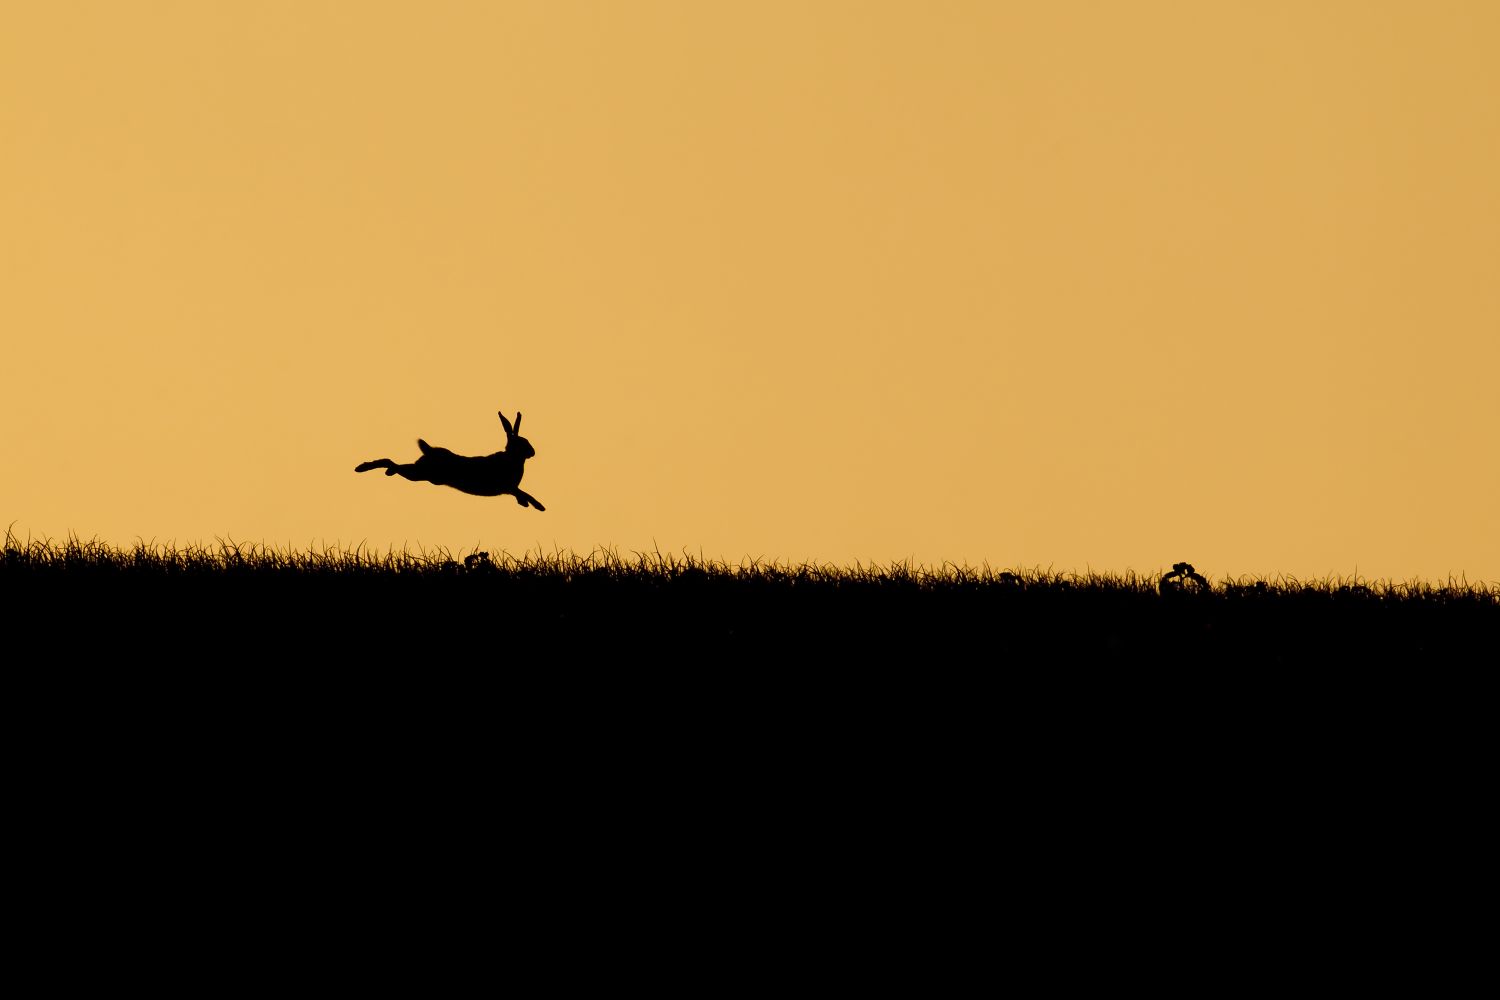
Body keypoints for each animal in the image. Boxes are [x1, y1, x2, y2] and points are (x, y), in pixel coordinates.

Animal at [355, 409, 545, 510]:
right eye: (522, 442)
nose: (533, 452)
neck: (512, 459)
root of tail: (430, 450)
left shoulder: (510, 488)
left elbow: (522, 493)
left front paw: (527, 504)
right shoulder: (508, 486)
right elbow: (524, 493)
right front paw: (538, 506)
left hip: (422, 474)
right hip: (420, 474)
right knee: (393, 463)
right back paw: (368, 468)